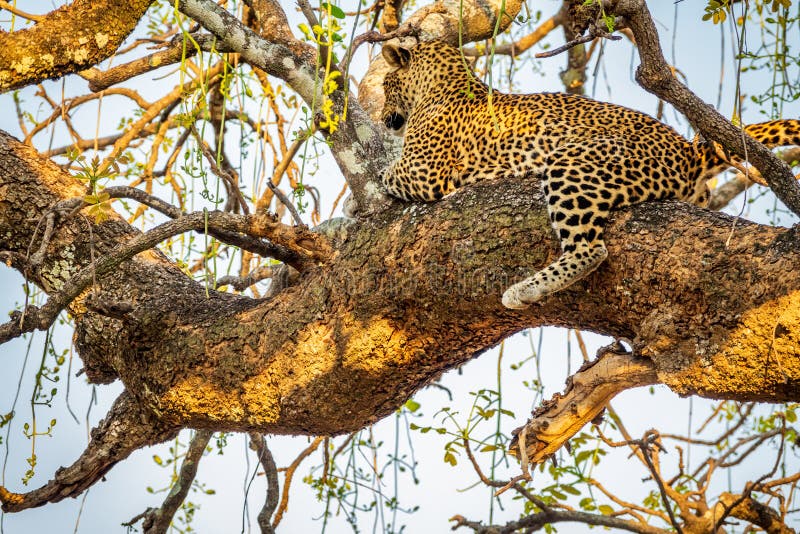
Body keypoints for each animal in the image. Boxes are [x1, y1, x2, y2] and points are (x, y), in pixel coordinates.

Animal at [379, 40, 800, 309]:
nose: (384, 119)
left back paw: (524, 291)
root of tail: (687, 149)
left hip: (573, 164)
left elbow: (386, 175)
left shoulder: (423, 171)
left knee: (590, 249)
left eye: (385, 84)